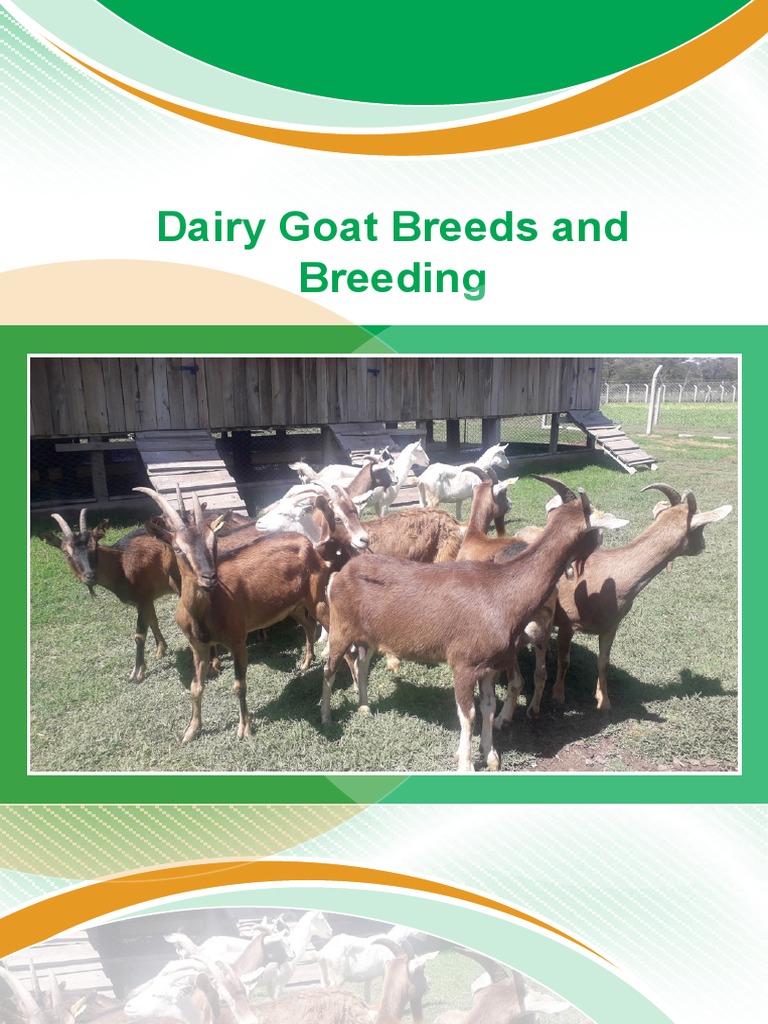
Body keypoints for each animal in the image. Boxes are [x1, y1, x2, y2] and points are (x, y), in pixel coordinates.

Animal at [40, 509, 178, 683]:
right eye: (65, 552)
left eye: (95, 547)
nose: (90, 576)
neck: (121, 563)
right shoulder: (147, 599)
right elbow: (153, 621)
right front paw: (161, 650)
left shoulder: (142, 598)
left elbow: (139, 635)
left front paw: (136, 673)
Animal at [136, 487, 330, 743]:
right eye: (178, 548)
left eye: (214, 541)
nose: (209, 577)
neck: (207, 609)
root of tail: (307, 543)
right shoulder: (197, 646)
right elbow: (195, 687)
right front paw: (190, 730)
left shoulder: (237, 641)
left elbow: (239, 685)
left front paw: (244, 728)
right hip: (294, 606)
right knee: (307, 624)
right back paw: (307, 662)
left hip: (316, 597)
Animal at [322, 476, 627, 771]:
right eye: (597, 532)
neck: (502, 591)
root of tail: (339, 575)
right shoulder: (464, 665)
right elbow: (467, 714)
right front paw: (466, 764)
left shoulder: (489, 666)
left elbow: (489, 706)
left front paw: (490, 755)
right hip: (339, 630)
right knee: (330, 669)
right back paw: (326, 717)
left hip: (369, 633)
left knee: (362, 663)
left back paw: (364, 706)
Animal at [553, 482, 733, 712]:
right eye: (701, 528)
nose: (703, 545)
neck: (608, 575)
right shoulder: (567, 624)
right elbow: (564, 660)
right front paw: (558, 696)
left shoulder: (610, 627)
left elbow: (604, 663)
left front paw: (604, 702)